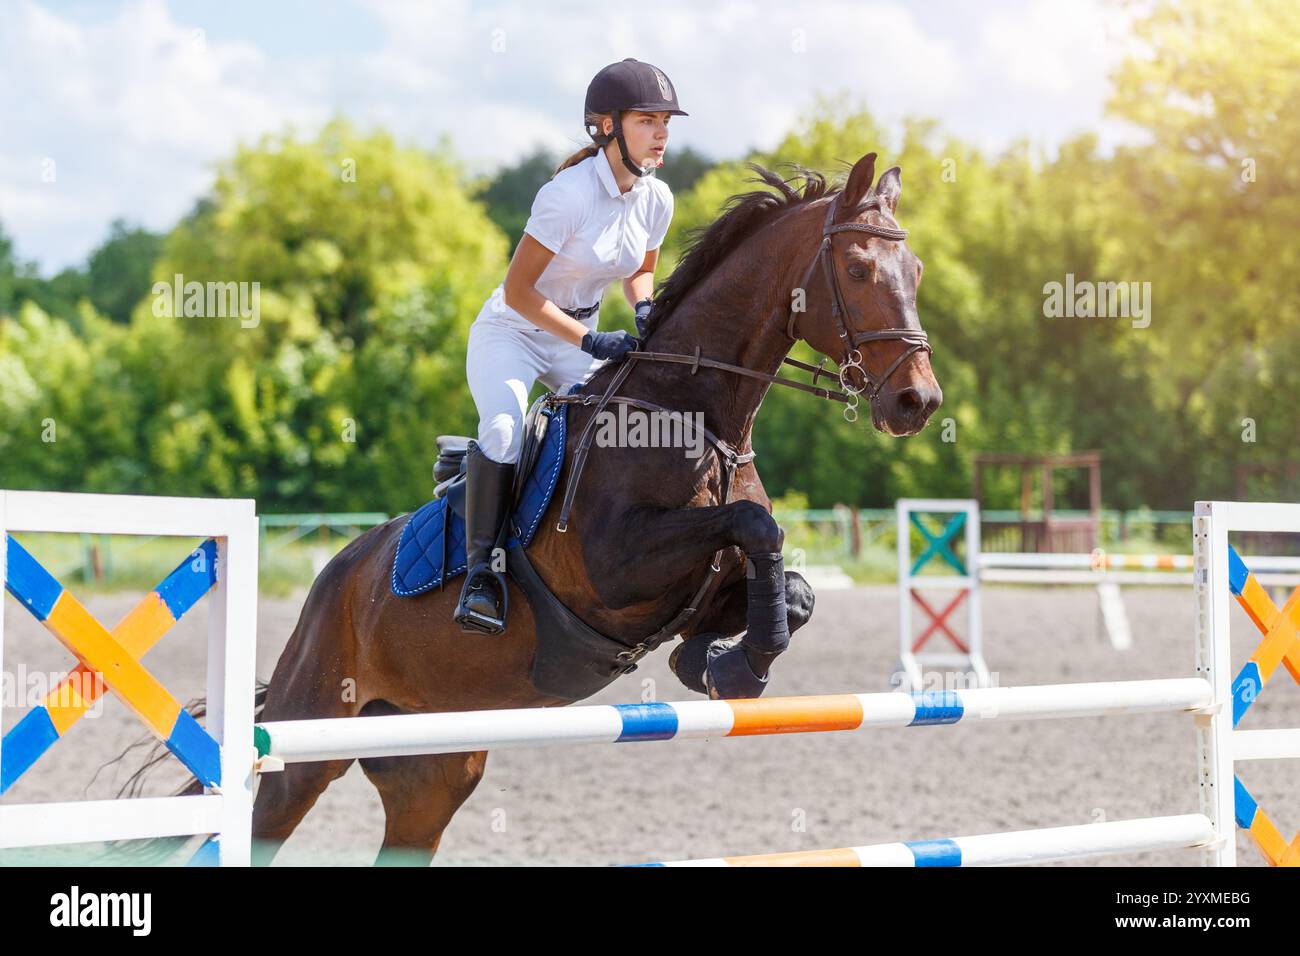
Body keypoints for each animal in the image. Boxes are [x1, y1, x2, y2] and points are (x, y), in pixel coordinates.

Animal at [194, 151, 940, 864]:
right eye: (857, 268)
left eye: (916, 270)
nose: (919, 401)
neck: (695, 417)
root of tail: (340, 574)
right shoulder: (616, 569)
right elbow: (754, 526)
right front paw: (734, 663)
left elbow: (788, 582)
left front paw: (718, 661)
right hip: (308, 738)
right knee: (270, 808)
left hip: (434, 769)